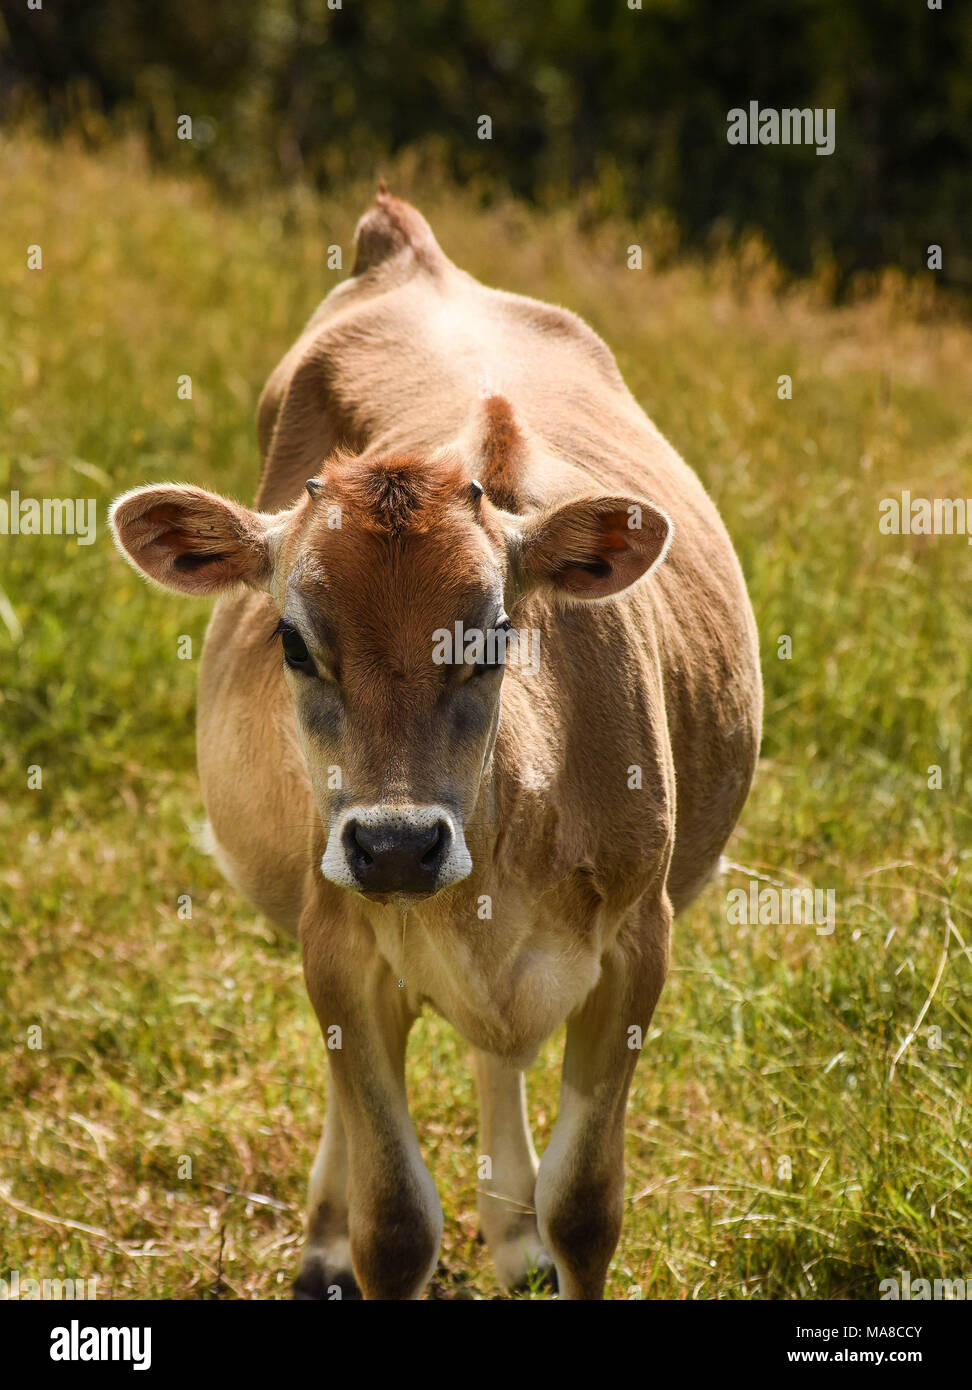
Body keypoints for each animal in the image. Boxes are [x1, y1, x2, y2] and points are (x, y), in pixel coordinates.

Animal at [110, 188, 762, 1300]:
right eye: (294, 640)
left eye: (496, 634)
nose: (398, 844)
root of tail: (412, 253)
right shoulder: (339, 943)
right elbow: (397, 1219)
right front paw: (355, 1237)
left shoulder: (641, 943)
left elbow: (586, 1208)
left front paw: (543, 1231)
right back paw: (328, 1244)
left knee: (498, 1052)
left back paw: (513, 1235)